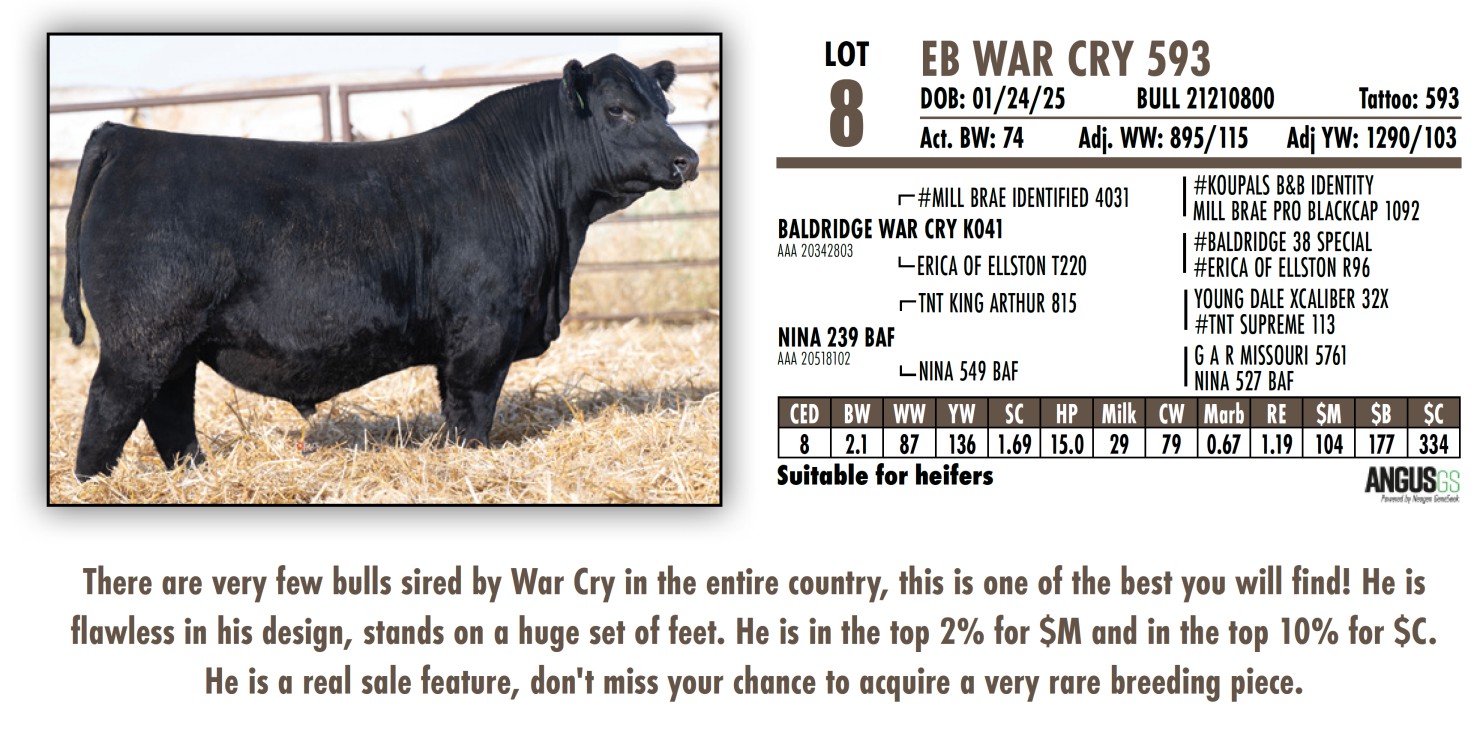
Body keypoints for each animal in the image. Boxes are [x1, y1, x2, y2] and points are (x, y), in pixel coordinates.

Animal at [61, 54, 700, 479]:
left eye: (664, 107)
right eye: (617, 110)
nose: (686, 159)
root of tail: (126, 136)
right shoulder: (483, 330)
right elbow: (471, 409)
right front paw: (472, 461)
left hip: (174, 343)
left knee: (169, 407)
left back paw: (193, 471)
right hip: (140, 337)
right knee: (110, 408)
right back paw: (97, 482)